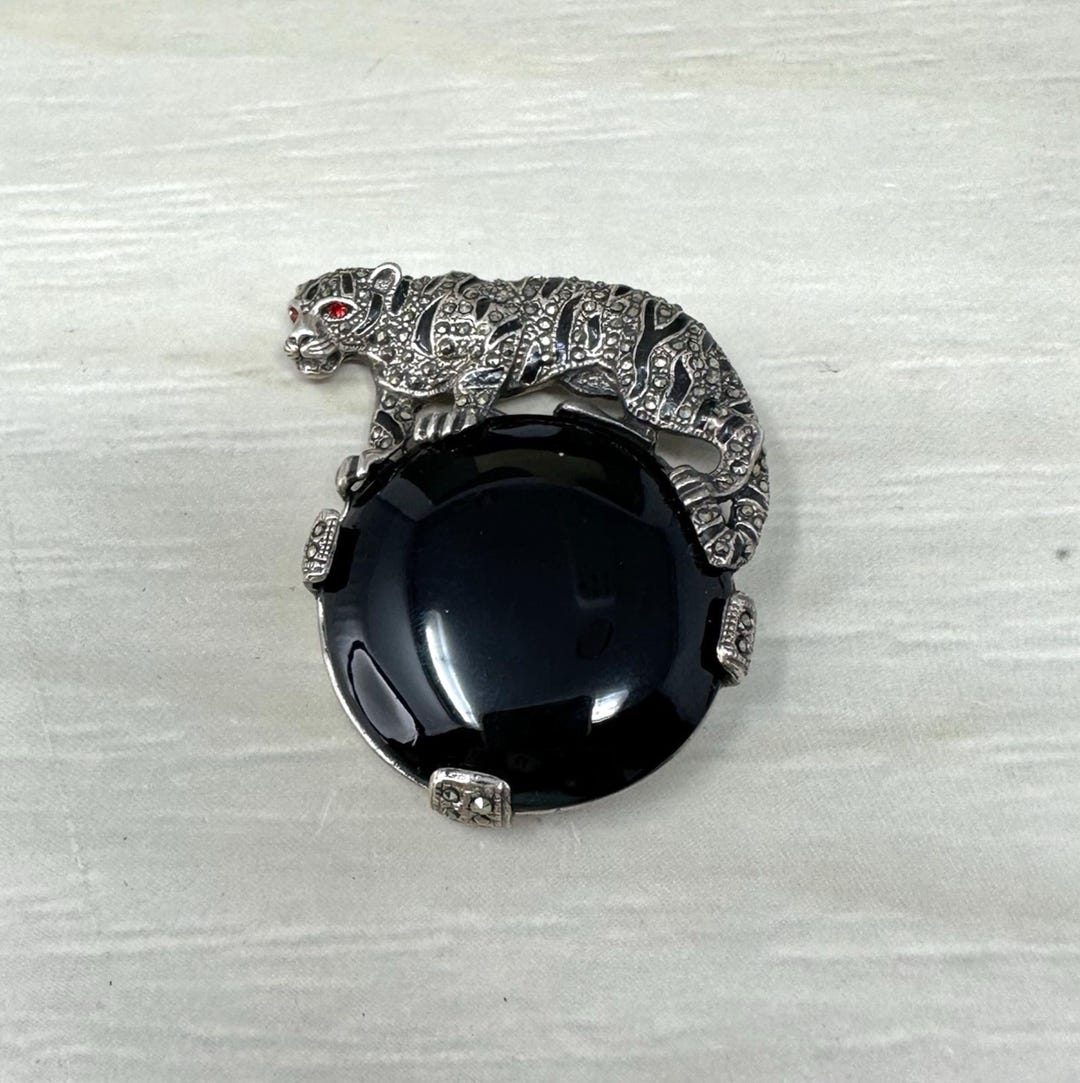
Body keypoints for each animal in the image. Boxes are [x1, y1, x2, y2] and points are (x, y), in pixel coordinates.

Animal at [284, 262, 768, 569]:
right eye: (293, 313)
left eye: (336, 309)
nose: (296, 341)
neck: (386, 340)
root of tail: (704, 338)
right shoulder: (395, 393)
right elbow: (386, 433)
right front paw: (367, 460)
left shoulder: (499, 330)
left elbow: (476, 381)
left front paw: (452, 417)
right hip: (602, 382)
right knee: (643, 431)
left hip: (658, 388)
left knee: (741, 428)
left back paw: (710, 481)